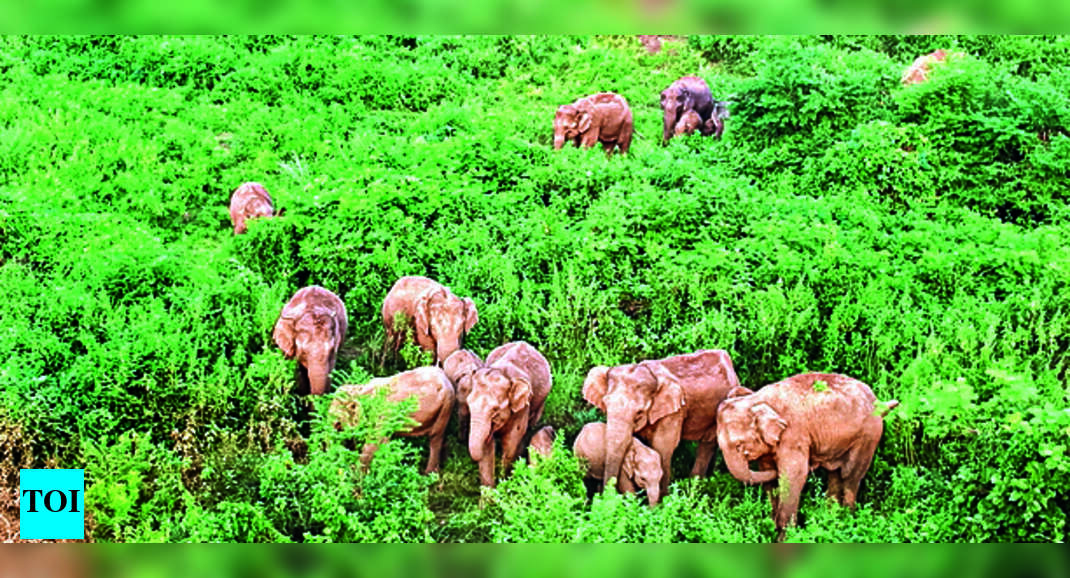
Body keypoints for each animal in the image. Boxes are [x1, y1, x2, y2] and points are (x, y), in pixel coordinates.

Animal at [466, 341, 552, 487]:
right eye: (468, 403)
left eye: (495, 410)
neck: (503, 373)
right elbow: (487, 449)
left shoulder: (522, 408)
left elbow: (512, 441)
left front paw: (505, 481)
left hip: (541, 402)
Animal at [582, 349, 742, 498]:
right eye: (605, 404)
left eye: (639, 413)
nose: (603, 496)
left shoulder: (674, 412)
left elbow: (663, 447)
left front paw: (663, 502)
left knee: (706, 444)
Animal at [716, 373, 899, 541]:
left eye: (738, 445)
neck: (757, 399)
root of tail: (879, 403)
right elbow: (769, 476)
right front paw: (771, 526)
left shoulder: (793, 435)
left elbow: (794, 475)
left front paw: (785, 538)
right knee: (835, 474)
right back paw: (831, 519)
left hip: (868, 436)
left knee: (850, 476)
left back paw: (845, 520)